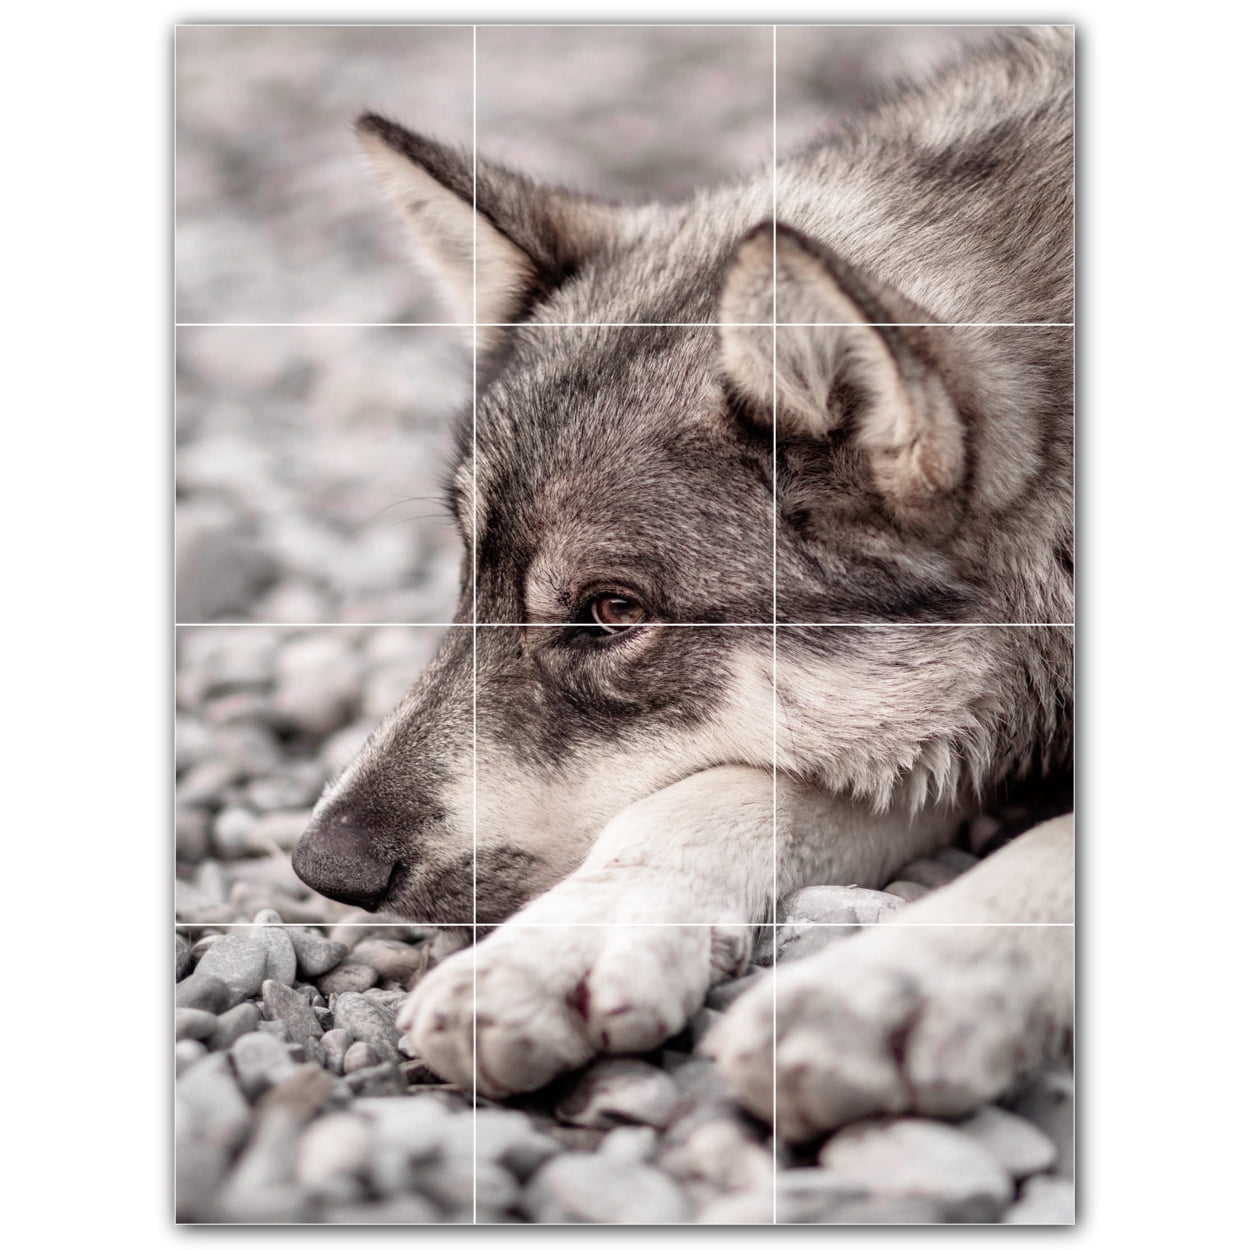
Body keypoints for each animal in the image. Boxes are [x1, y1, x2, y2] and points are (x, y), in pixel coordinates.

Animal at [293, 27, 1074, 1140]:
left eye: (612, 612)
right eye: (468, 572)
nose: (323, 865)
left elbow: (1055, 849)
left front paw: (895, 982)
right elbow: (710, 795)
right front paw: (562, 944)